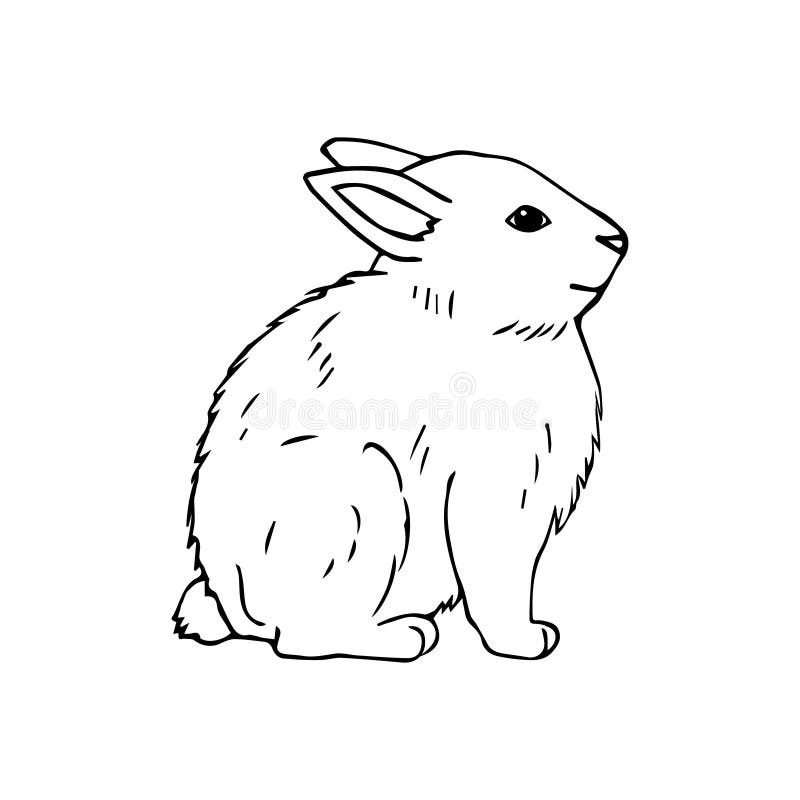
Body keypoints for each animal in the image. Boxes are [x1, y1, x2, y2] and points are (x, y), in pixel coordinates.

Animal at [173, 137, 628, 660]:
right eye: (527, 218)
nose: (618, 240)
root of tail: (234, 605)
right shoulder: (495, 491)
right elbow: (497, 578)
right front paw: (526, 642)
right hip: (360, 493)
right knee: (303, 639)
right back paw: (406, 636)